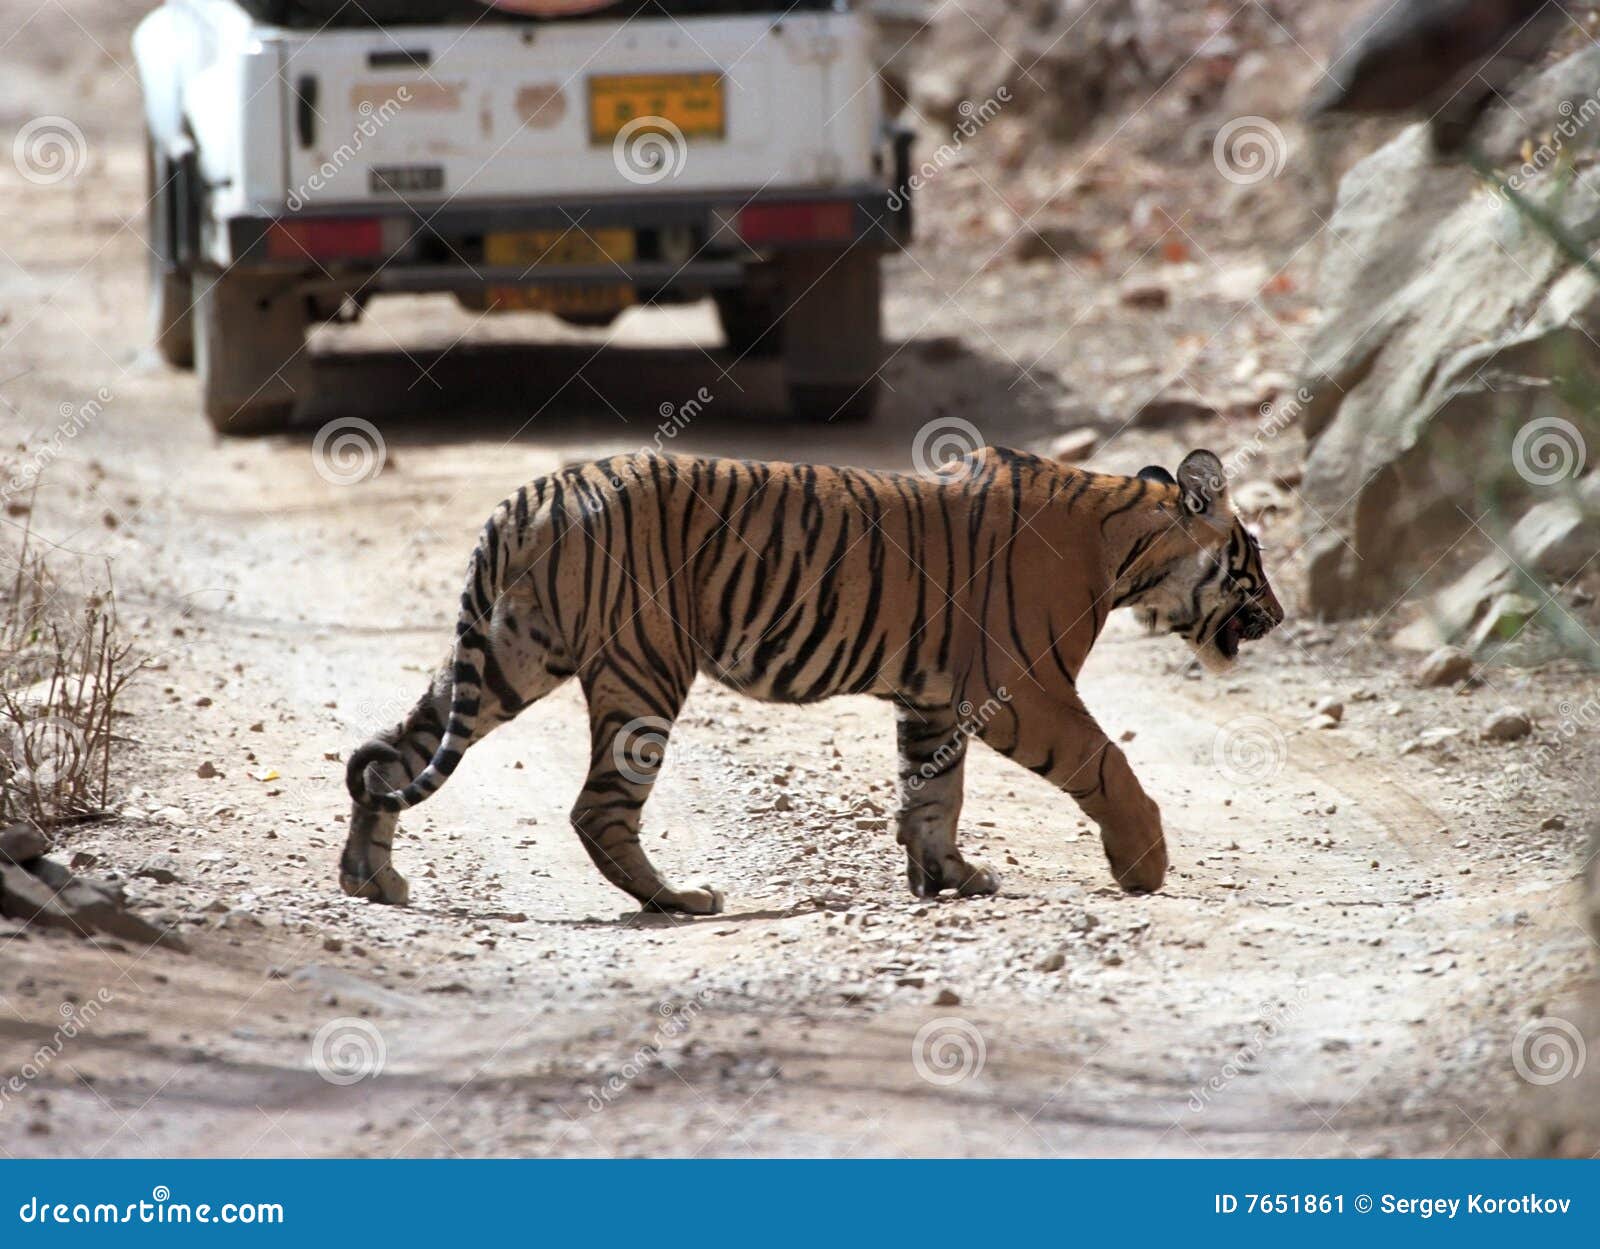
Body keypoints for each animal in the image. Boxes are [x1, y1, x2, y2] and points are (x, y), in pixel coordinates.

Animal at [341, 446, 1283, 914]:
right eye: (1253, 557)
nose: (1278, 614)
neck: (1128, 545)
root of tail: (532, 493)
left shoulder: (933, 700)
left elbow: (934, 794)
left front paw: (948, 876)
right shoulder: (1024, 693)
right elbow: (1107, 764)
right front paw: (1146, 863)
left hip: (510, 655)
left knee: (384, 754)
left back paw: (370, 879)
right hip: (643, 668)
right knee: (596, 808)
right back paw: (678, 899)